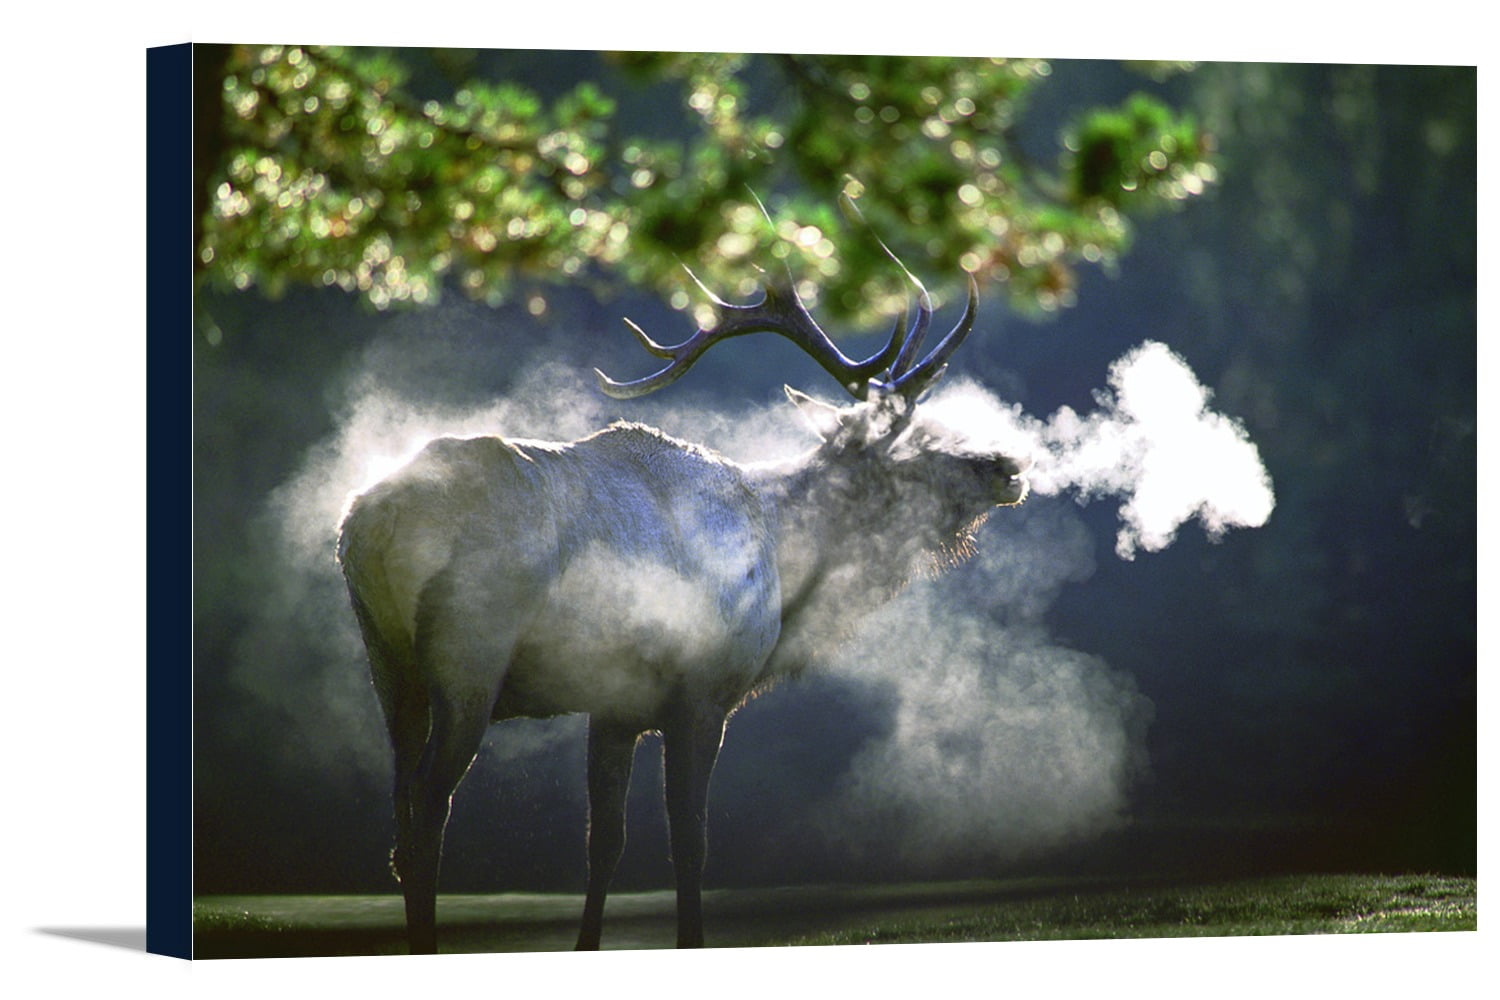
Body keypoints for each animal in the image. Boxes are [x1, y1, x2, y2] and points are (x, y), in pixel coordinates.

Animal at [336, 257, 1030, 954]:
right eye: (916, 442)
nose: (1007, 465)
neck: (786, 563)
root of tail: (369, 520)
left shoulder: (614, 705)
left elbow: (605, 845)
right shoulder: (703, 691)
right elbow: (691, 841)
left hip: (388, 666)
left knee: (401, 815)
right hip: (469, 656)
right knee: (428, 812)